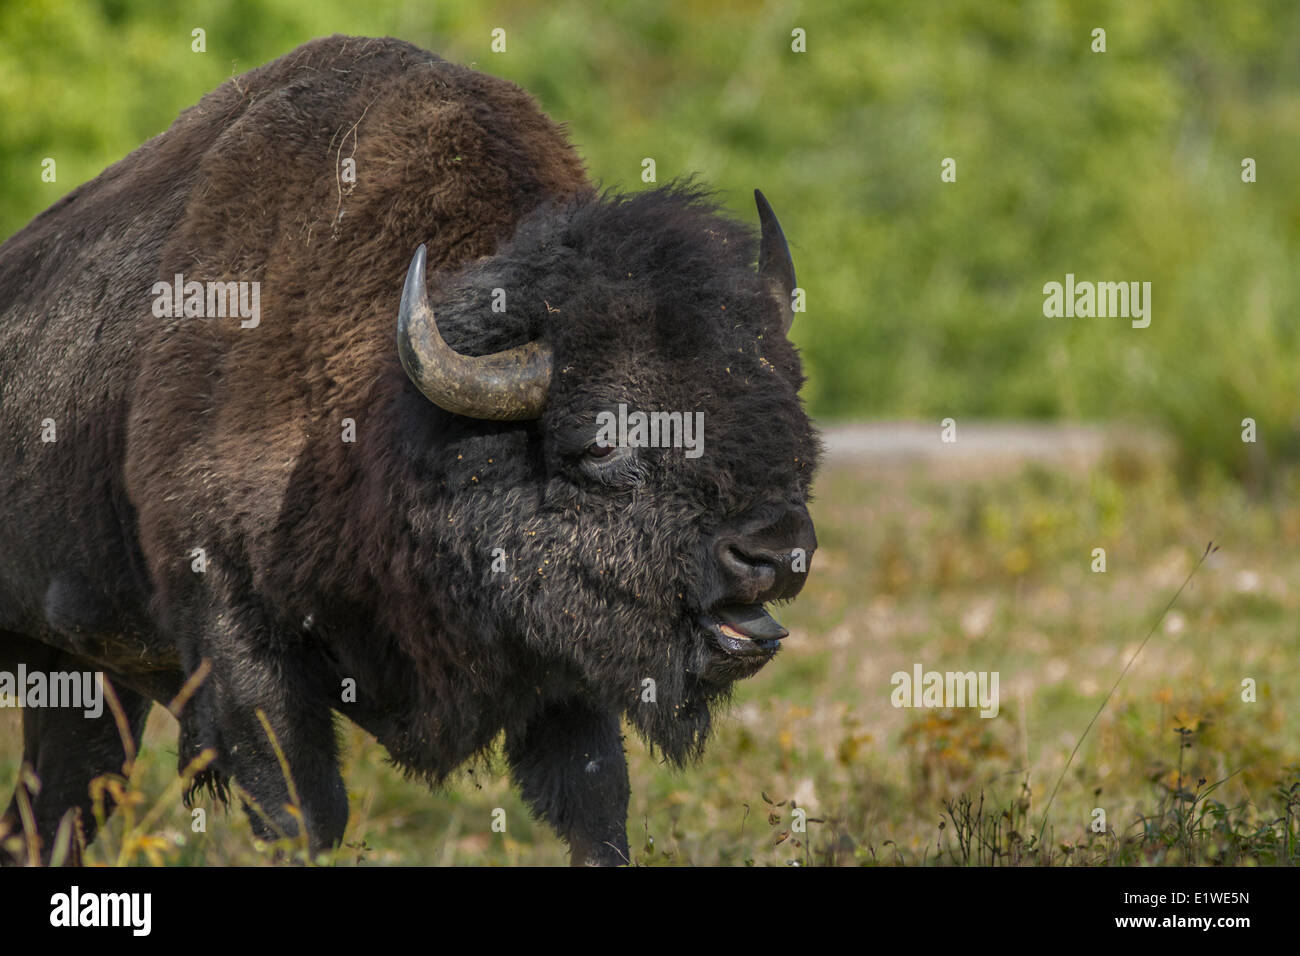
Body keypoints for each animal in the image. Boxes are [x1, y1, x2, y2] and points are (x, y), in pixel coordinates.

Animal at [0, 35, 819, 866]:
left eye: (789, 410)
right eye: (600, 442)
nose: (775, 552)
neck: (391, 415)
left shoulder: (563, 675)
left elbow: (596, 803)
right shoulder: (235, 630)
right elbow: (301, 808)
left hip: (82, 677)